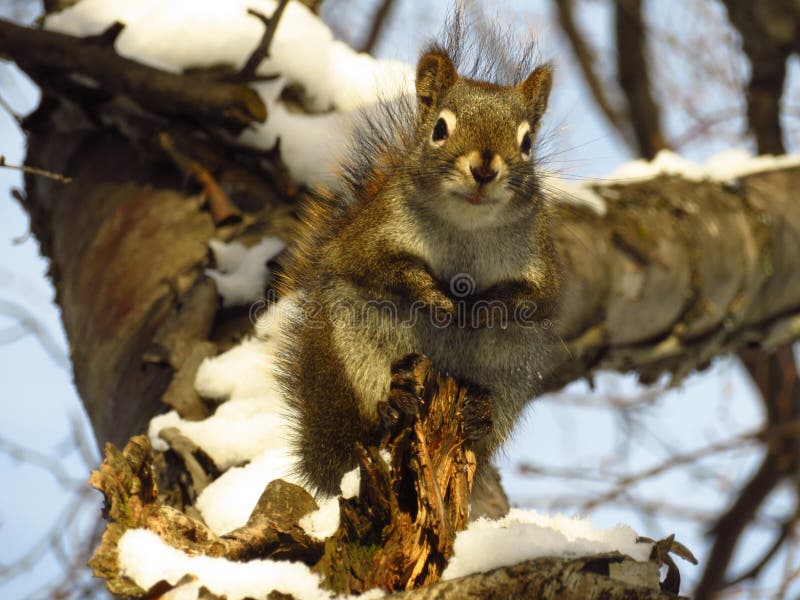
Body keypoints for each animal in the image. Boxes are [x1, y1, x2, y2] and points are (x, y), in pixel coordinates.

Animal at [274, 19, 561, 497]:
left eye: (527, 142)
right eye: (440, 129)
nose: (484, 169)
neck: (465, 228)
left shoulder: (541, 263)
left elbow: (530, 299)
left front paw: (483, 310)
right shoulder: (369, 238)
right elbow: (385, 268)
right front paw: (437, 299)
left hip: (513, 372)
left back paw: (479, 416)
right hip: (353, 350)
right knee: (365, 421)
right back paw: (391, 405)